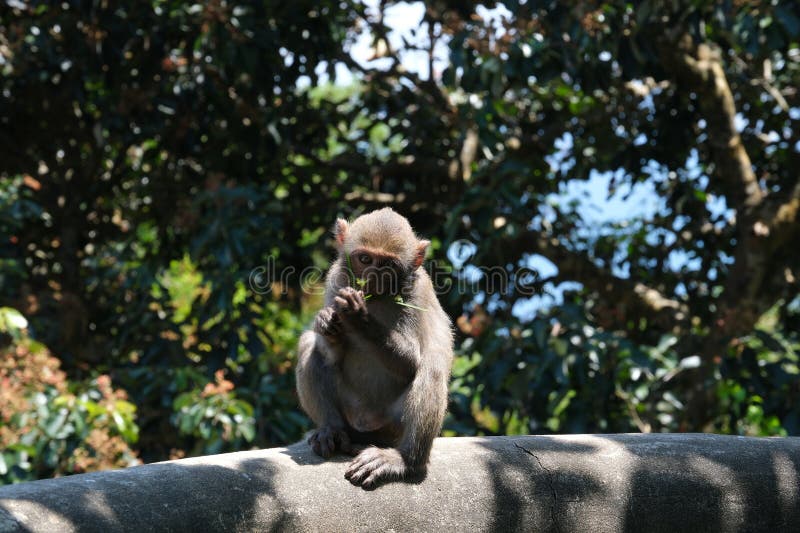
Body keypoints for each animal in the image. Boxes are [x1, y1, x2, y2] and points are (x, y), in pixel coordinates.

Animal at [295, 207, 453, 489]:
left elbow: (410, 363)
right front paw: (326, 322)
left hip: (392, 426)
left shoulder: (417, 292)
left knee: (432, 367)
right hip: (349, 412)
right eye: (365, 258)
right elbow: (330, 354)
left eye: (387, 266)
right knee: (309, 345)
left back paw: (404, 461)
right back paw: (330, 431)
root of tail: (367, 428)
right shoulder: (336, 278)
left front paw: (359, 316)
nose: (371, 277)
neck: (378, 298)